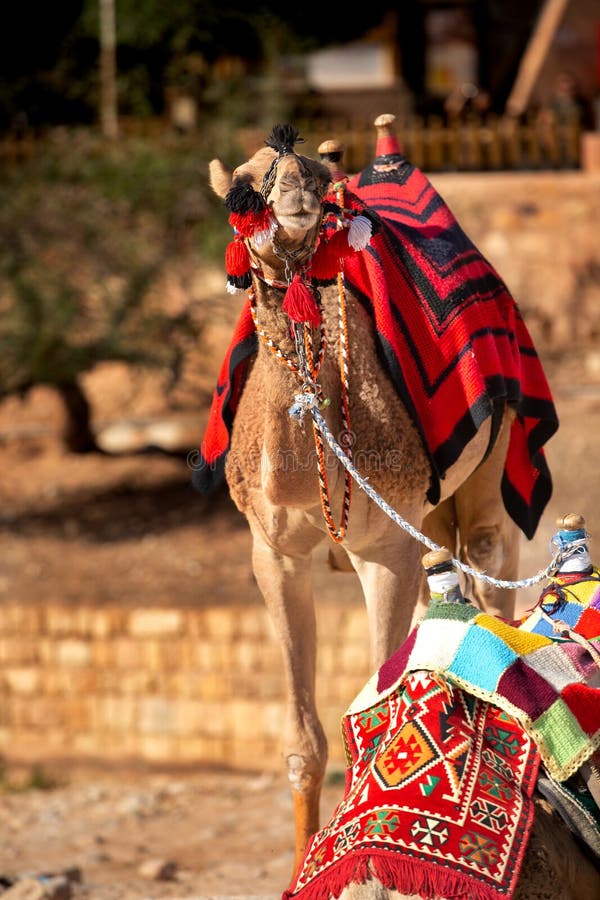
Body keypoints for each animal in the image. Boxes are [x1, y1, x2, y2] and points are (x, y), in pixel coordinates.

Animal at [201, 115, 557, 867]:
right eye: (244, 187)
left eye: (319, 178)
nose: (299, 198)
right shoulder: (272, 553)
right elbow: (303, 739)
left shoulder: (383, 553)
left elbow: (377, 708)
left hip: (496, 456)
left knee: (493, 577)